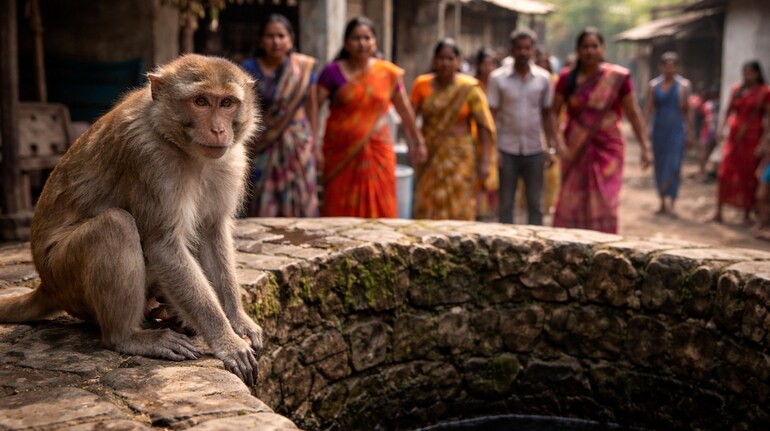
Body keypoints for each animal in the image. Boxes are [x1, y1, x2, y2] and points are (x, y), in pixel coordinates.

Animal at [0, 54, 263, 385]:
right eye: (201, 101)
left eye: (227, 103)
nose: (218, 130)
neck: (174, 140)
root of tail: (46, 284)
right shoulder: (148, 159)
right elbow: (163, 246)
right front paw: (226, 340)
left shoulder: (229, 160)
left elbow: (212, 232)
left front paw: (238, 320)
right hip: (63, 273)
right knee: (115, 226)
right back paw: (127, 337)